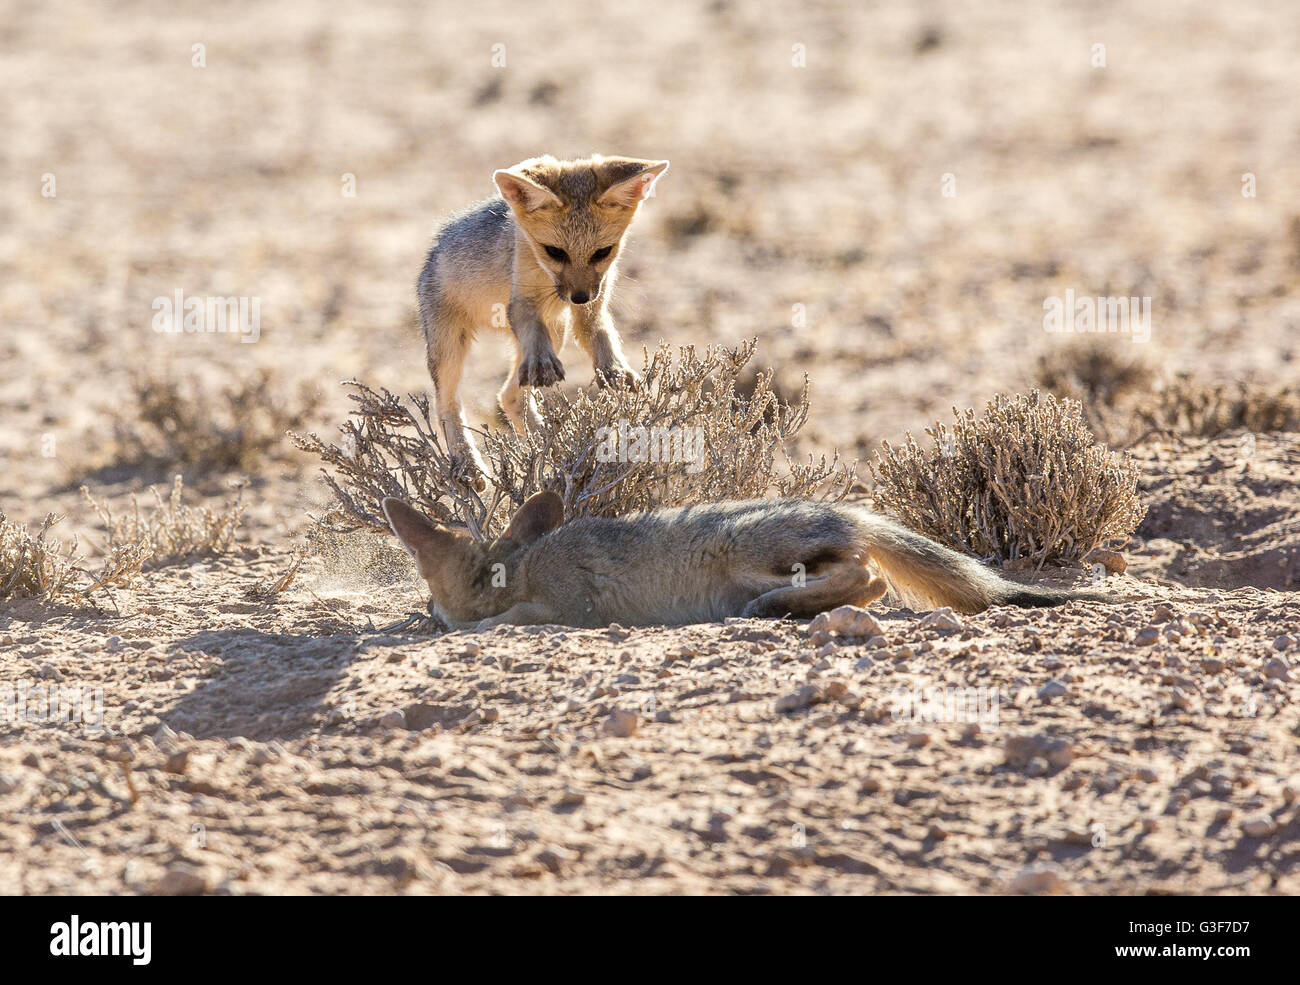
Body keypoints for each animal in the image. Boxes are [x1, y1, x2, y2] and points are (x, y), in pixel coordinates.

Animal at [416, 154, 670, 486]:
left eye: (603, 252)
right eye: (554, 252)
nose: (578, 297)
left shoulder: (594, 299)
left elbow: (598, 330)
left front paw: (613, 368)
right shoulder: (521, 303)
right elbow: (532, 329)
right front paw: (543, 363)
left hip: (556, 330)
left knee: (510, 396)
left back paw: (554, 448)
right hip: (449, 348)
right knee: (447, 403)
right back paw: (469, 464)